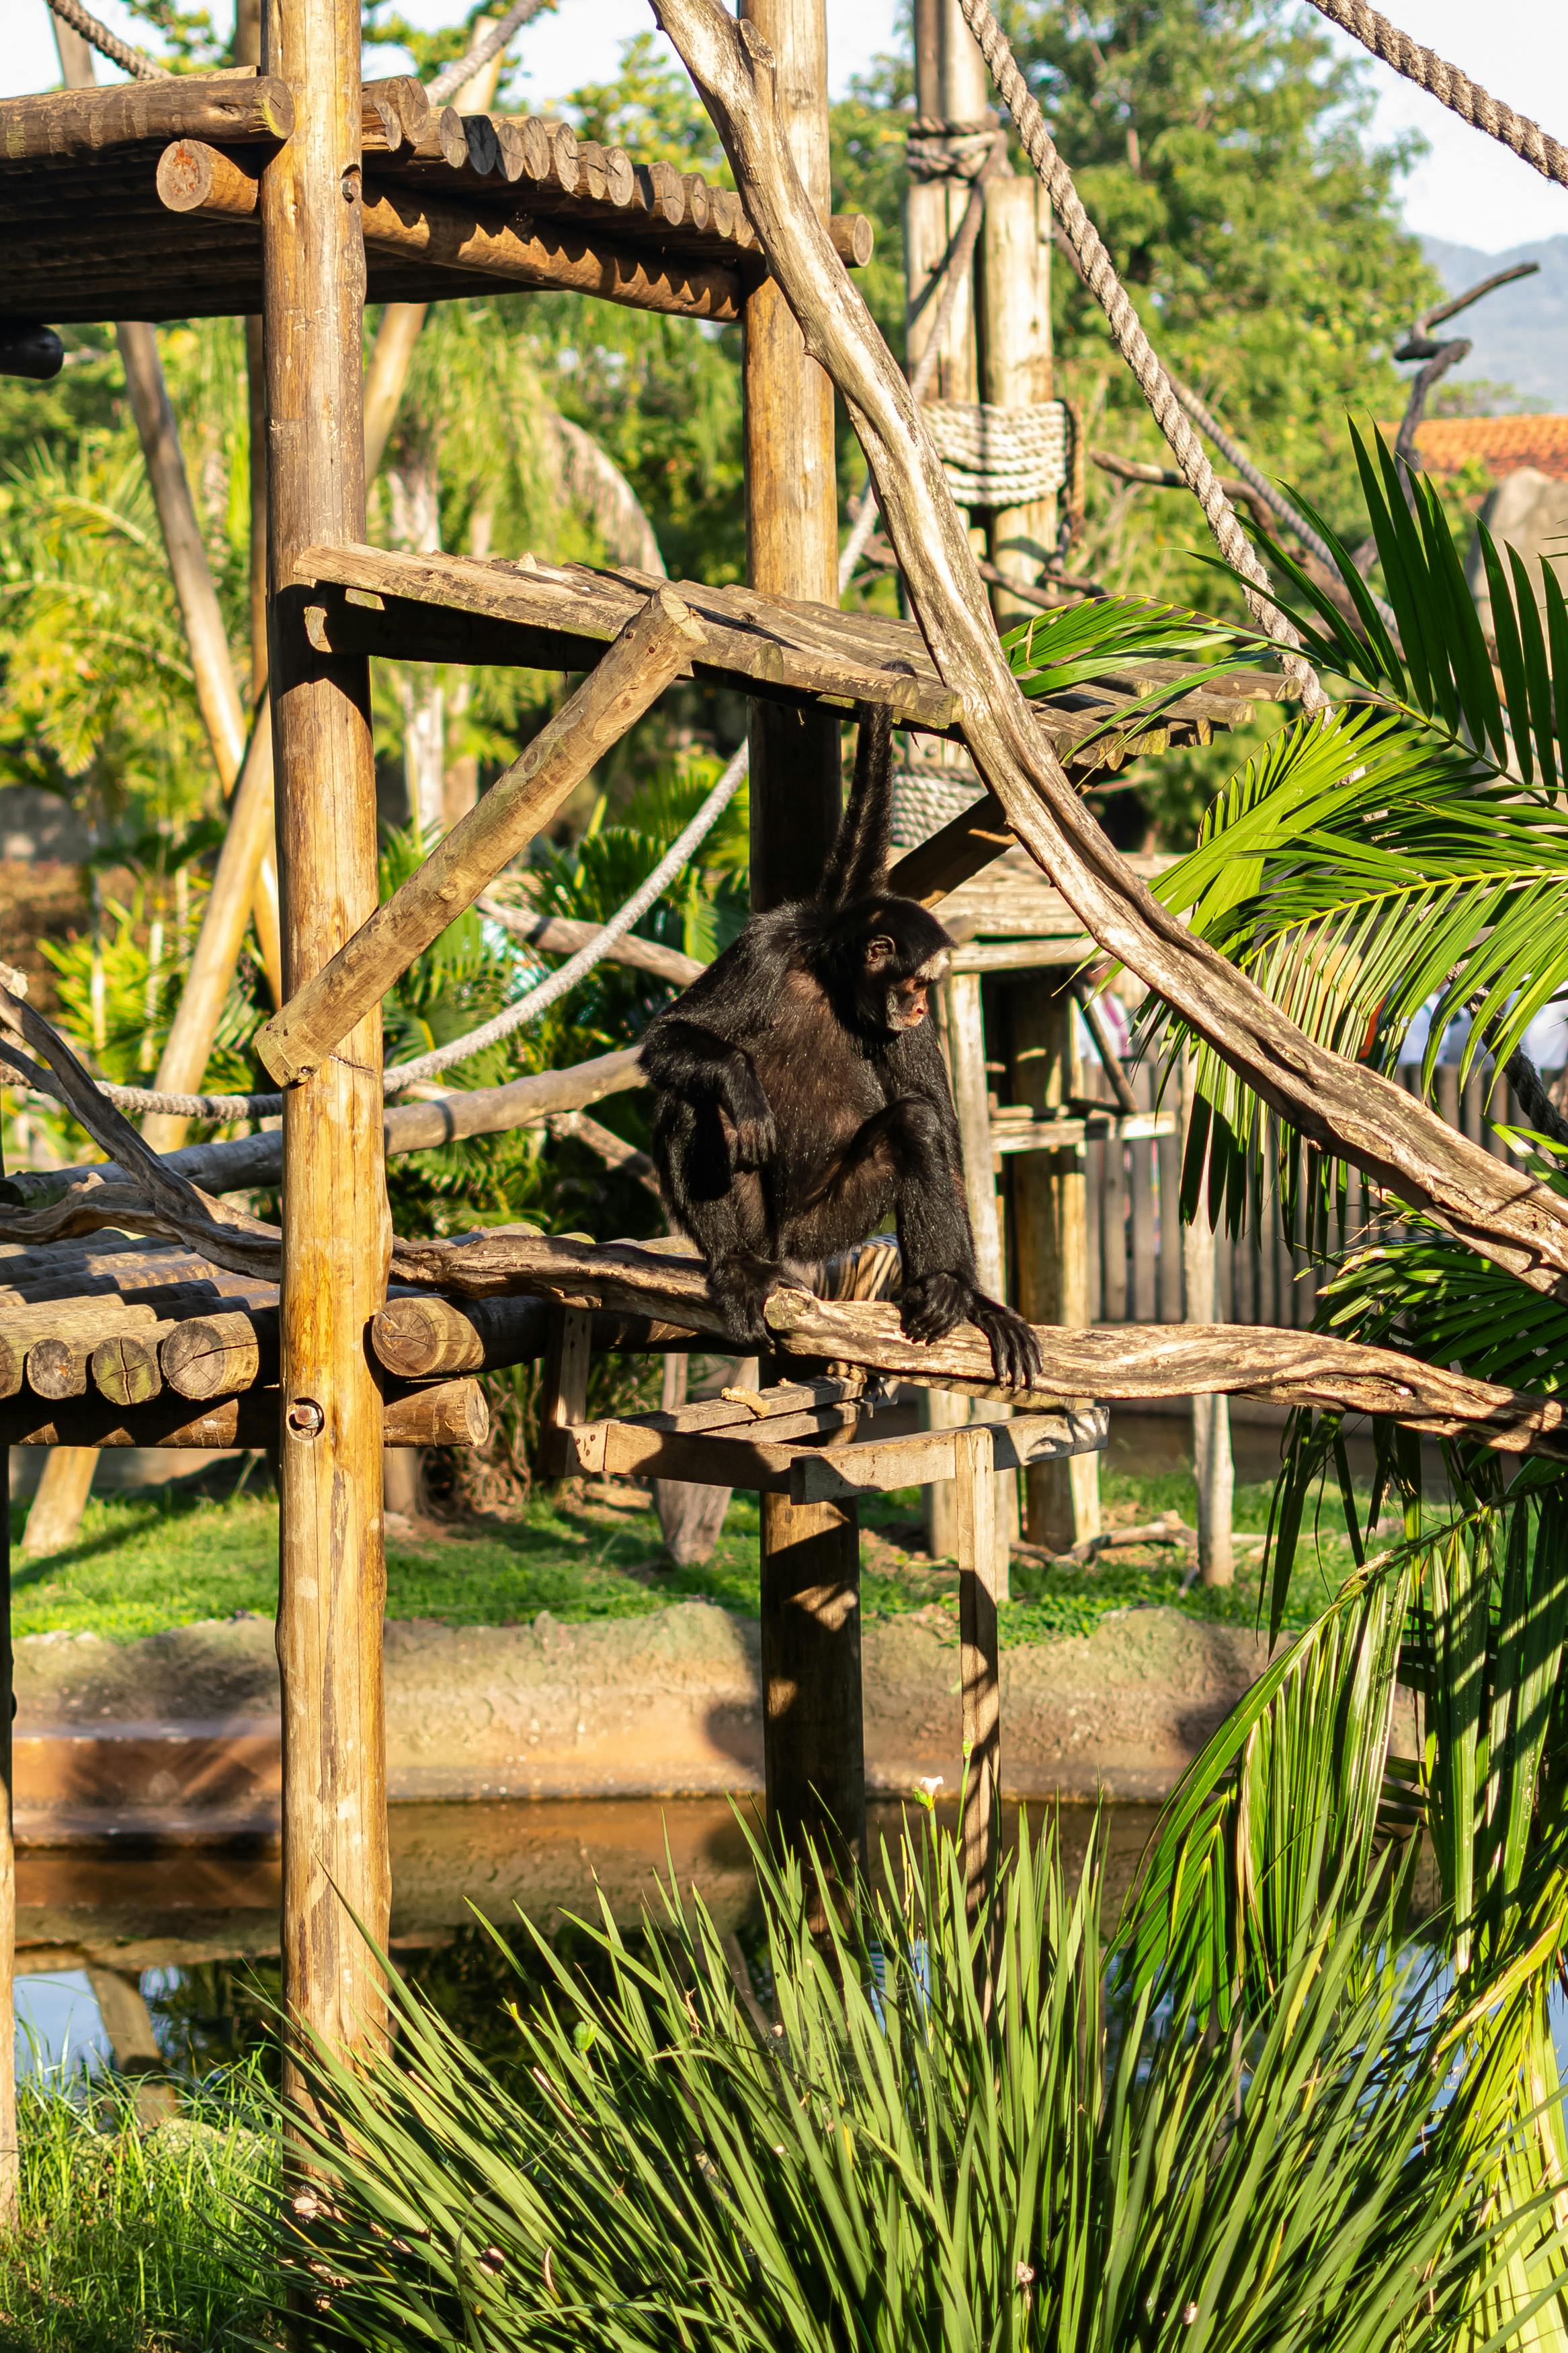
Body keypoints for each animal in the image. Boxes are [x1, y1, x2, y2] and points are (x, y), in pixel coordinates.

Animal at [639, 705, 1043, 1390]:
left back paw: (943, 1288)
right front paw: (741, 1083)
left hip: (824, 1227)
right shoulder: (766, 947)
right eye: (916, 982)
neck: (831, 975)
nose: (918, 1007)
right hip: (766, 1224)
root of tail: (783, 1250)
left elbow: (938, 1118)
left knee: (914, 1124)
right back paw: (735, 1266)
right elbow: (667, 1038)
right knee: (689, 1100)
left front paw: (978, 1300)